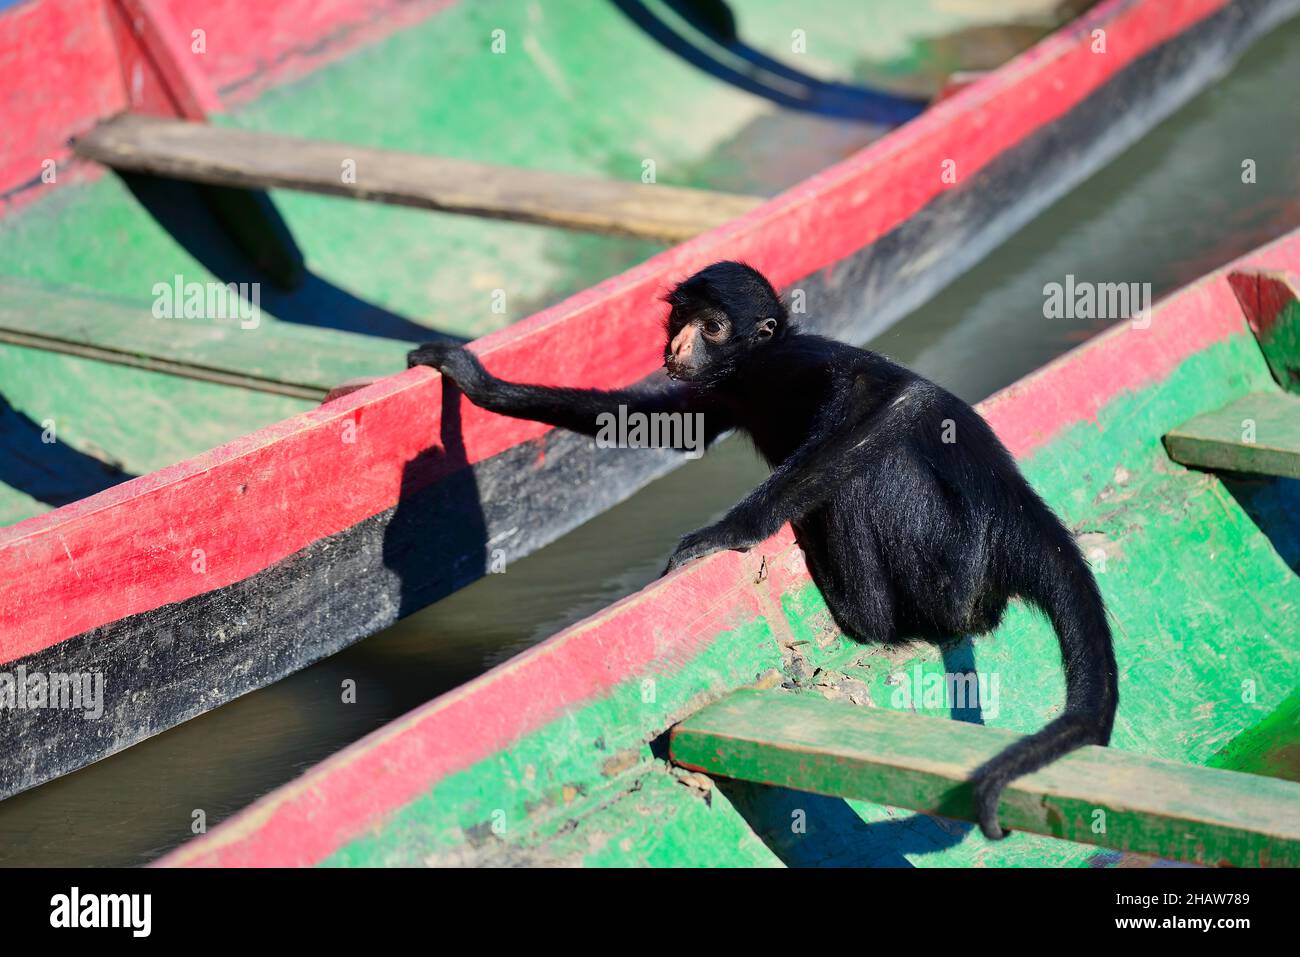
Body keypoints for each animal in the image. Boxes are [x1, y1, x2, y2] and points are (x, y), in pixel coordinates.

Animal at [407, 261, 1119, 840]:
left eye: (714, 325)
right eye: (679, 318)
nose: (677, 344)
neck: (751, 368)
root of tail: (1015, 512)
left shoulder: (790, 363)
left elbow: (888, 397)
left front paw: (728, 533)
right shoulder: (729, 387)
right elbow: (664, 426)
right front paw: (479, 383)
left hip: (948, 562)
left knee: (873, 468)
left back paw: (860, 609)